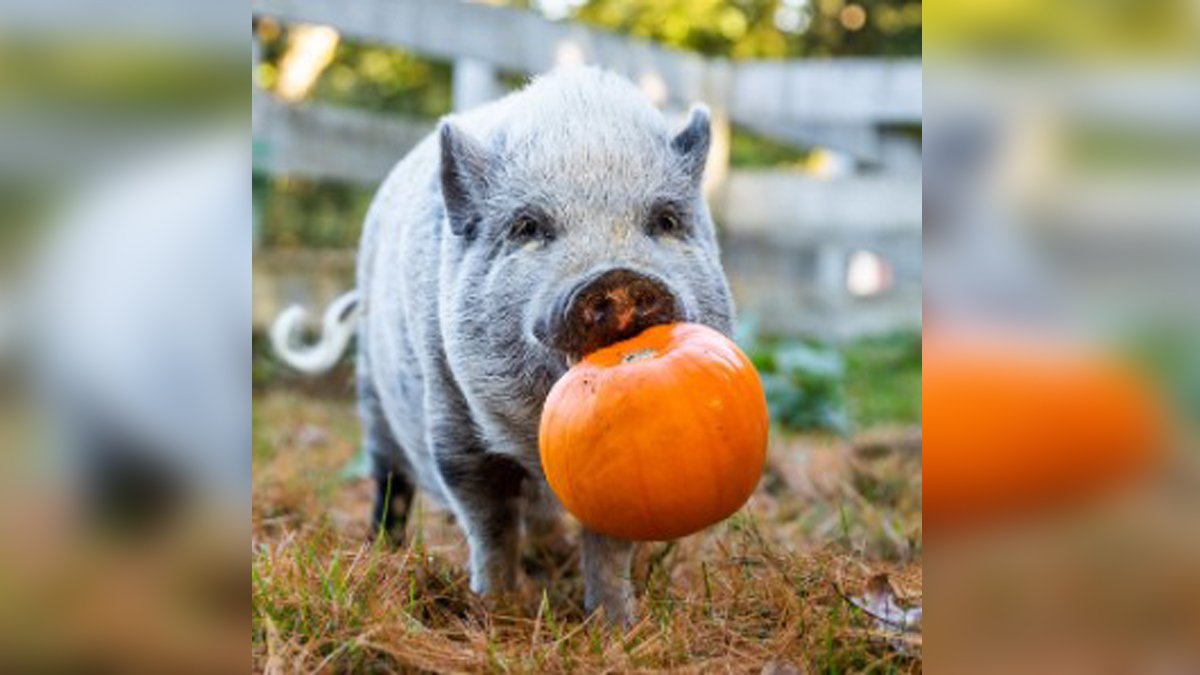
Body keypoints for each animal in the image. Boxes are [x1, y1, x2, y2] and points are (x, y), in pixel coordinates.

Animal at [272, 67, 735, 625]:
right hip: (372, 398)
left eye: (665, 220)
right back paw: (382, 551)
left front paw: (616, 626)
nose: (618, 278)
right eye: (528, 227)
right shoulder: (454, 427)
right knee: (390, 483)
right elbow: (488, 523)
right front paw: (494, 610)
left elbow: (608, 547)